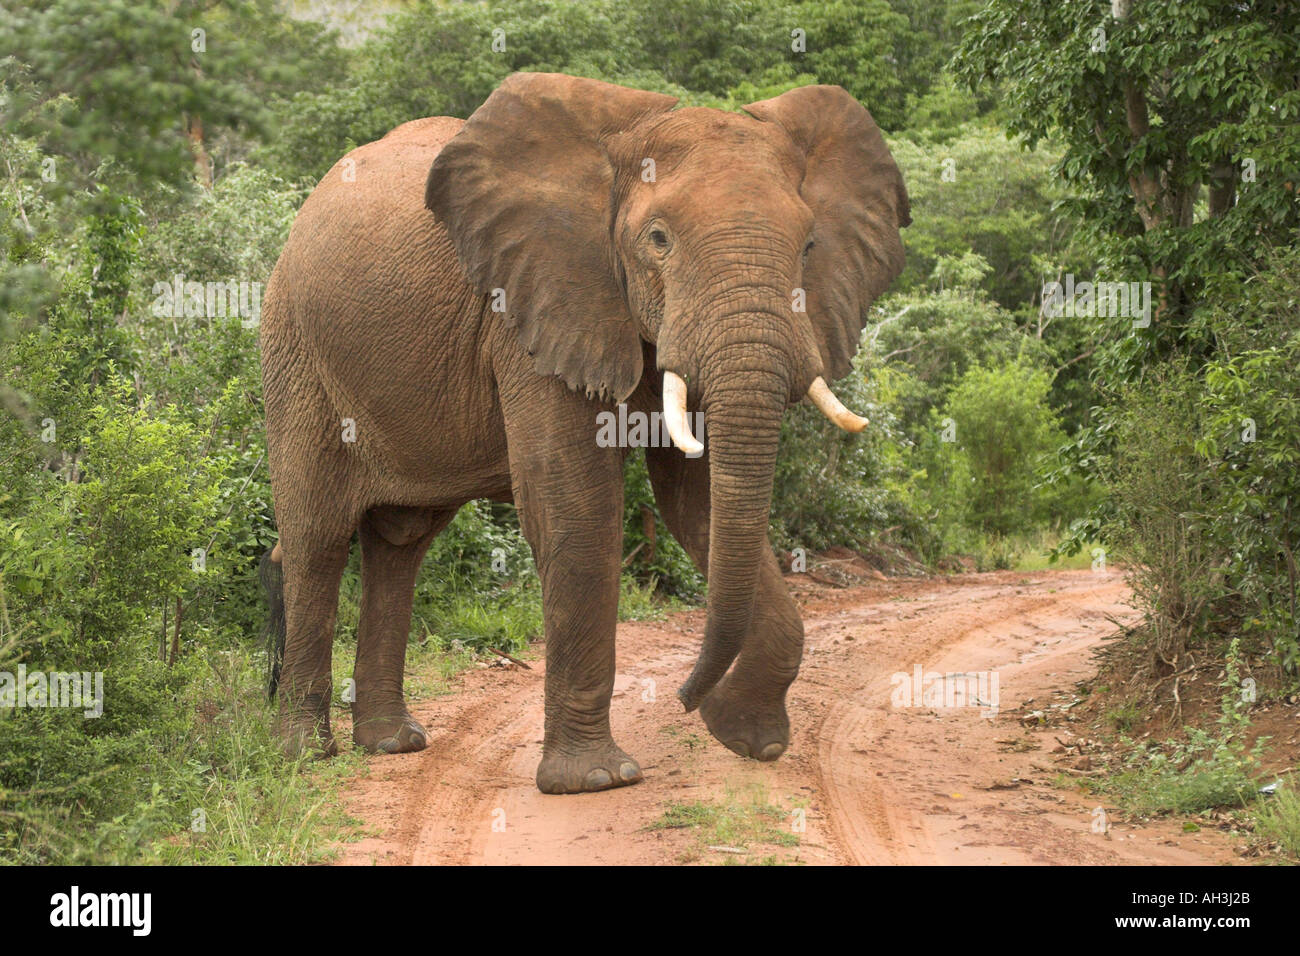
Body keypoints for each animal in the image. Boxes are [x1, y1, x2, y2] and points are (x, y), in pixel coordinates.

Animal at [259, 72, 909, 794]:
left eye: (809, 248)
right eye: (658, 240)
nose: (687, 698)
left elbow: (697, 502)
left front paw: (749, 736)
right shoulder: (532, 305)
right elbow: (576, 505)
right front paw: (597, 781)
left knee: (401, 543)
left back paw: (392, 743)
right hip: (295, 352)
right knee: (317, 538)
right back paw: (302, 755)